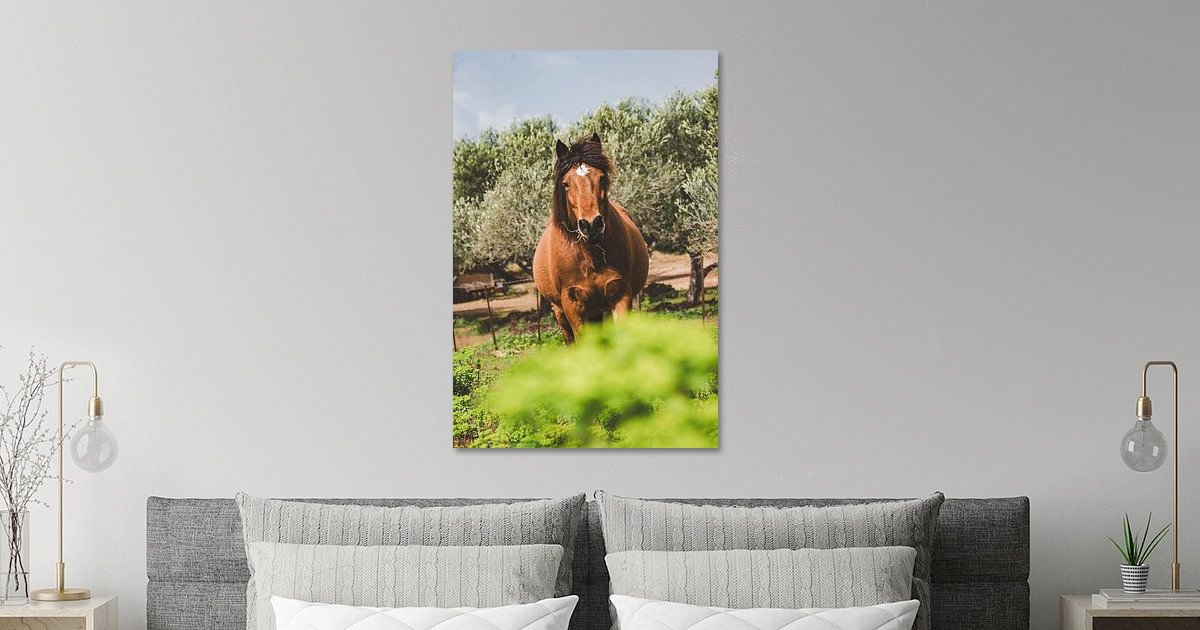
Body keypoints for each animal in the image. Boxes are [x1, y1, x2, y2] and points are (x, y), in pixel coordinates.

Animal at [533, 133, 649, 343]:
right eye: (566, 183)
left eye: (601, 178)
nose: (591, 225)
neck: (589, 256)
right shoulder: (572, 304)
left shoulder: (621, 294)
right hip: (560, 312)